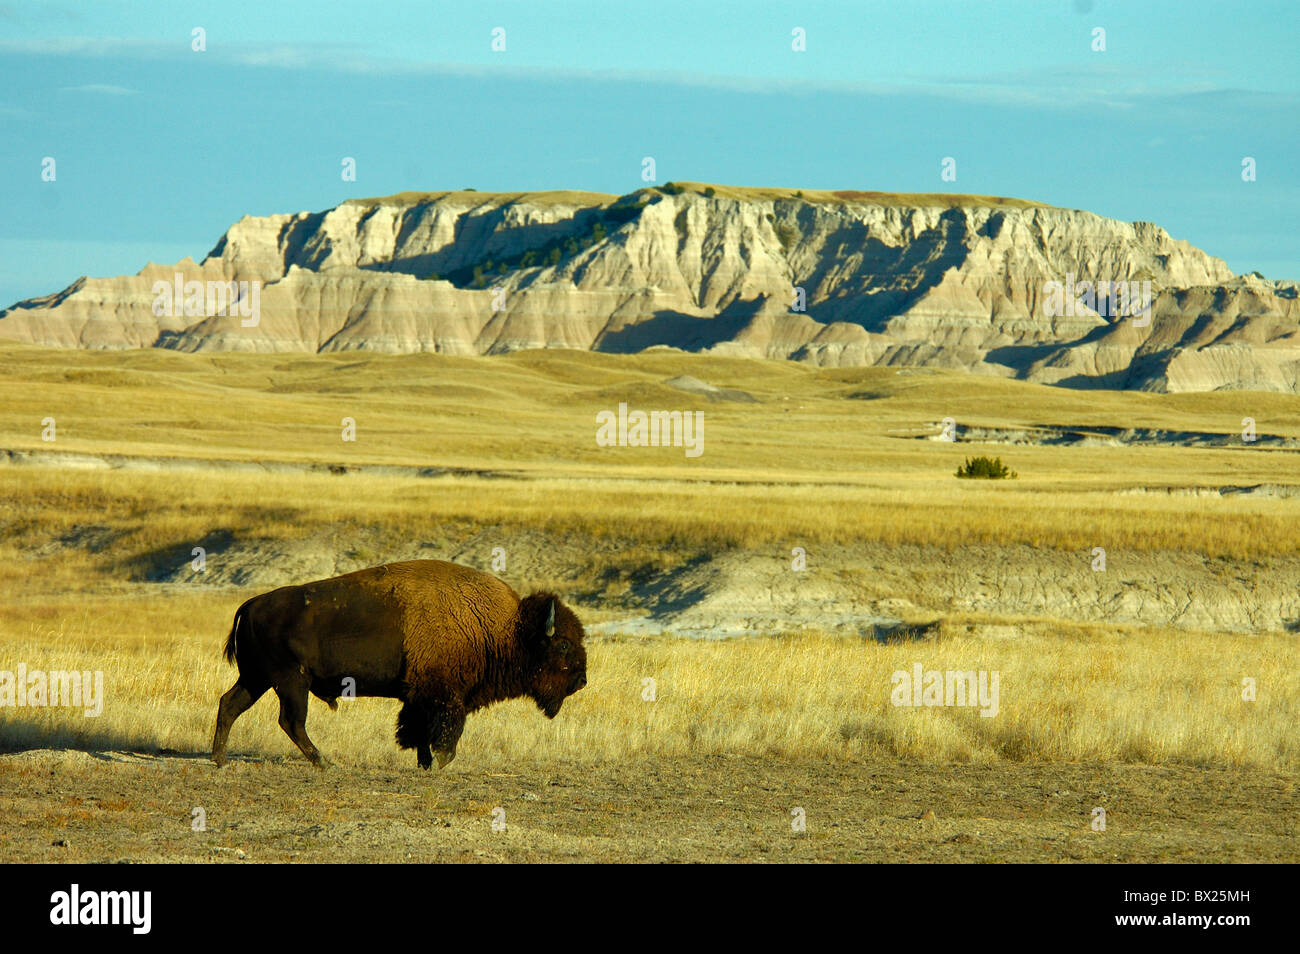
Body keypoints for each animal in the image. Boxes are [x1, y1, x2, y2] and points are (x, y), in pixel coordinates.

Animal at [211, 560, 588, 769]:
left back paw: (220, 760)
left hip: (257, 678)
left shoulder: (419, 697)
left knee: (230, 704)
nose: (581, 681)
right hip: (289, 682)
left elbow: (417, 730)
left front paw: (426, 762)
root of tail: (252, 603)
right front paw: (442, 761)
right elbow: (443, 730)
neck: (506, 628)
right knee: (291, 721)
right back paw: (324, 762)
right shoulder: (445, 697)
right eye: (563, 644)